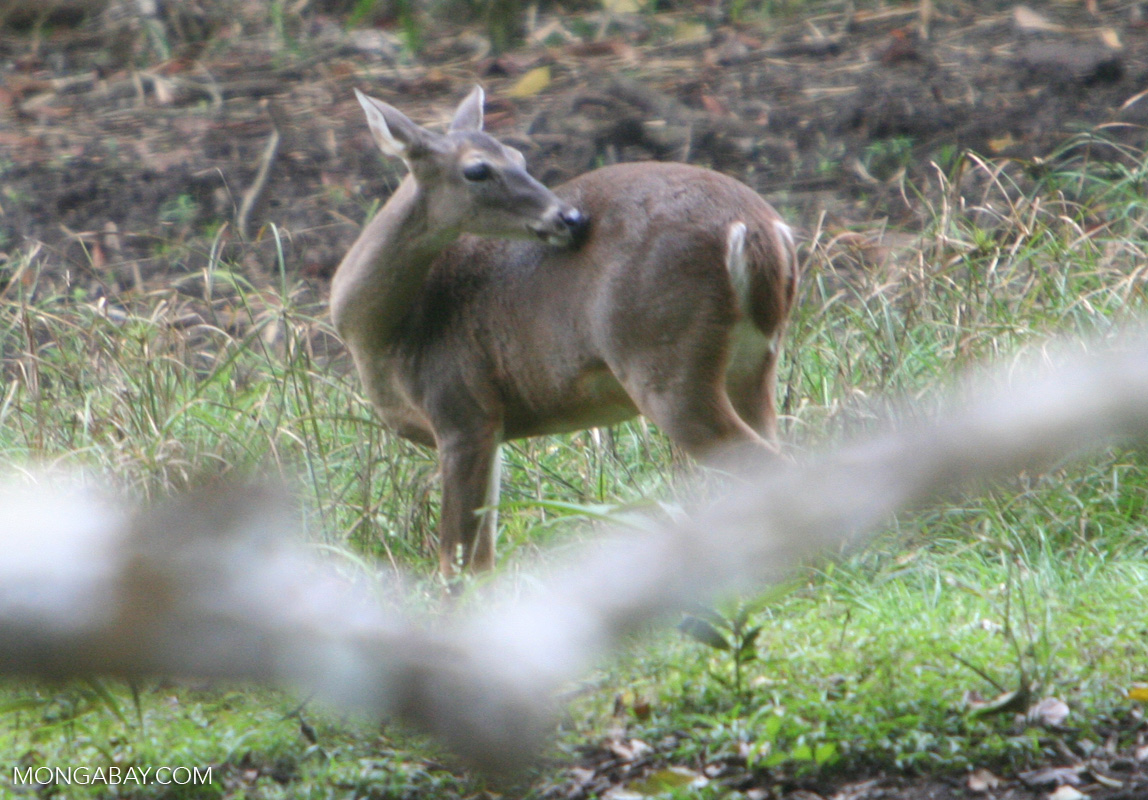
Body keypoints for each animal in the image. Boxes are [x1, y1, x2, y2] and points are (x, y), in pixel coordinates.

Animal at [331, 86, 799, 578]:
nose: (571, 218)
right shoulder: (488, 424)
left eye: (518, 155)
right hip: (754, 364)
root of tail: (760, 231)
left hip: (665, 362)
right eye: (479, 168)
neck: (391, 335)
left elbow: (460, 564)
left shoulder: (461, 409)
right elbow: (482, 556)